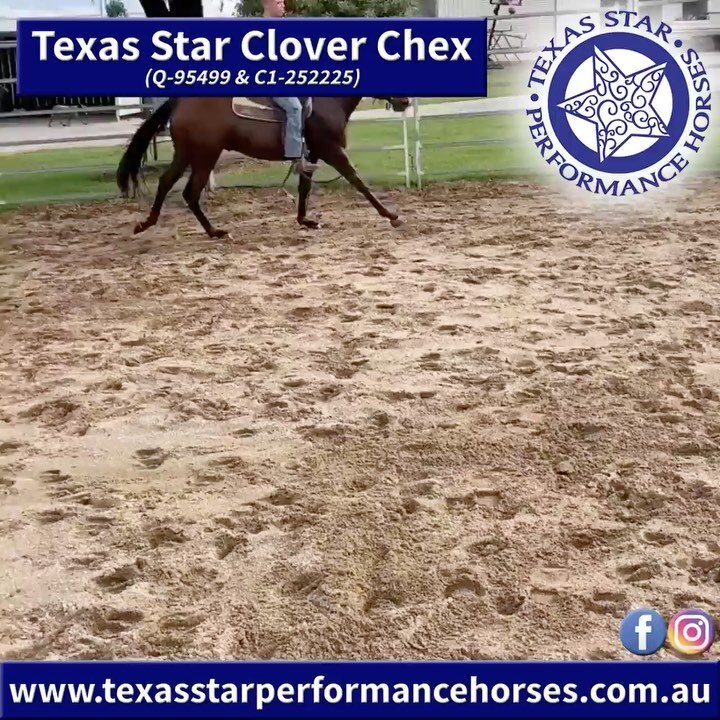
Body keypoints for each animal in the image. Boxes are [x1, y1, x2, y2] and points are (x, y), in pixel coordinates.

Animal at [116, 96, 411, 238]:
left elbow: (304, 187)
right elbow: (357, 180)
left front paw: (305, 221)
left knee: (167, 183)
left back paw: (147, 224)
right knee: (189, 192)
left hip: (188, 154)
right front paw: (391, 215)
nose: (405, 101)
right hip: (204, 155)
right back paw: (215, 232)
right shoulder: (331, 151)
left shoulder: (313, 154)